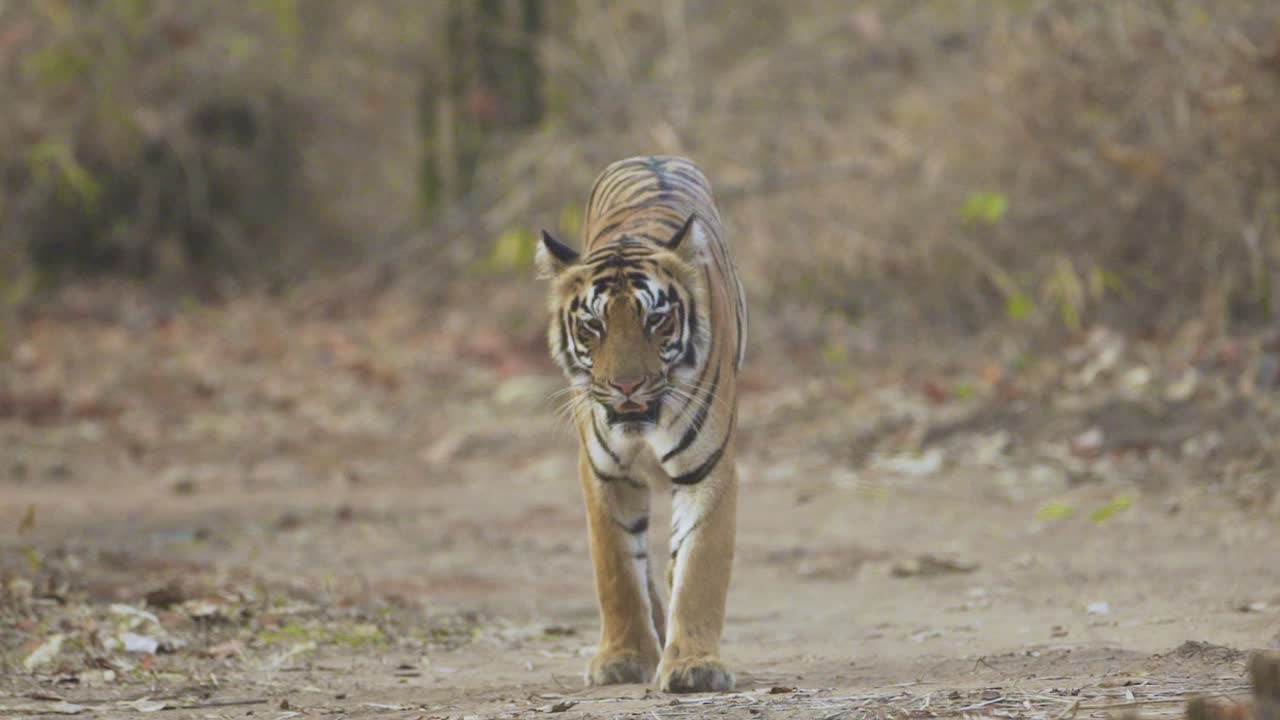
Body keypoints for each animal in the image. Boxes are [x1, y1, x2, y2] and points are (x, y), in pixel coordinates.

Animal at [536, 156, 747, 693]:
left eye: (656, 320)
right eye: (593, 325)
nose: (627, 385)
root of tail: (652, 158)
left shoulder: (708, 467)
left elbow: (700, 566)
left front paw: (694, 665)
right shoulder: (603, 471)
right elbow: (615, 570)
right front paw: (624, 658)